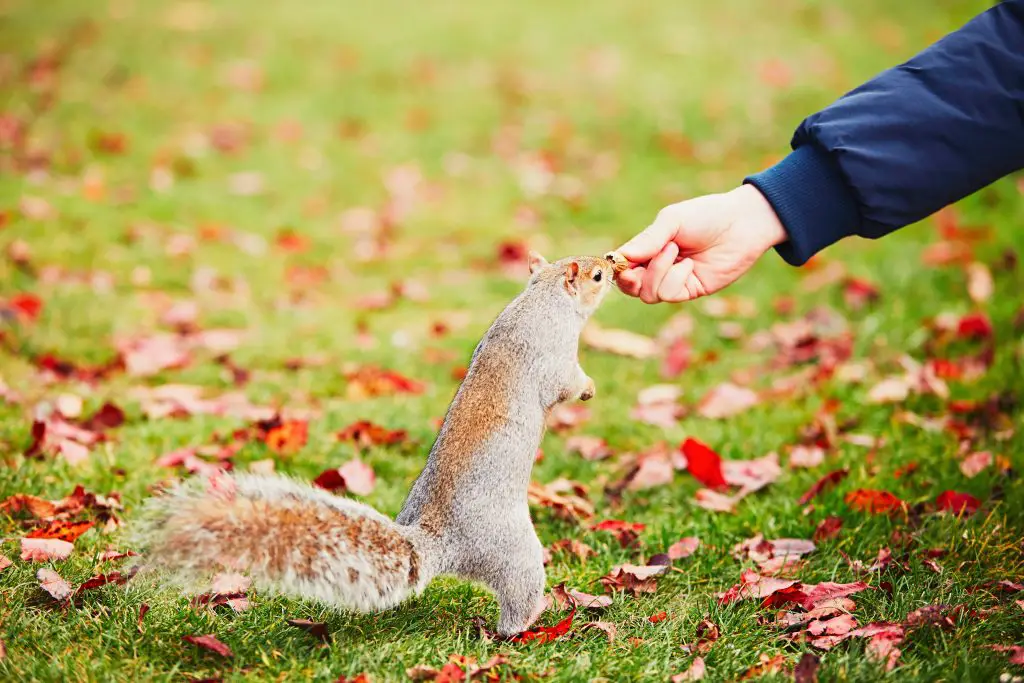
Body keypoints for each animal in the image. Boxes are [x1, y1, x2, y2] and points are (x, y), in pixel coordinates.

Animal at [135, 252, 629, 636]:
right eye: (595, 276)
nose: (611, 260)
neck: (542, 299)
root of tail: (439, 544)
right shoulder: (552, 357)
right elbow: (565, 383)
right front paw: (588, 389)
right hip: (513, 550)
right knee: (517, 600)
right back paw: (531, 624)